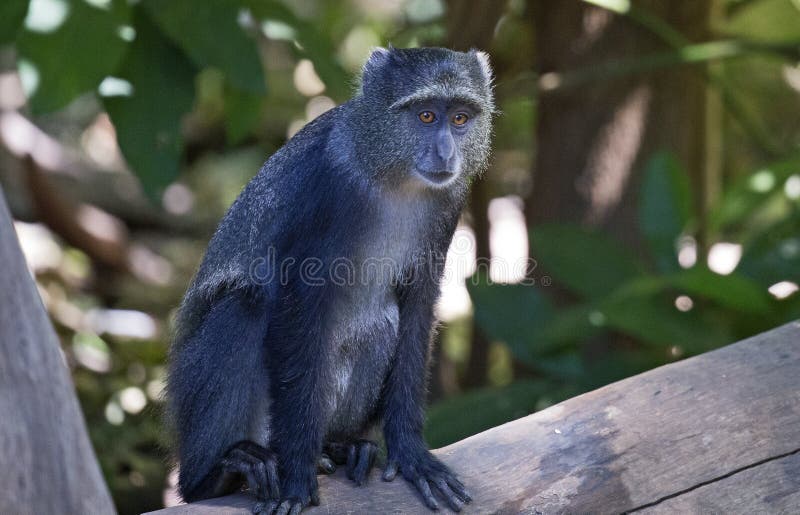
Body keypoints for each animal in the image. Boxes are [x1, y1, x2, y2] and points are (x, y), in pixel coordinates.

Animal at [166, 46, 494, 515]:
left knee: (381, 323)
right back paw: (220, 473)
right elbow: (297, 307)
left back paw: (340, 447)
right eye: (427, 116)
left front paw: (410, 452)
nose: (447, 153)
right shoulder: (325, 191)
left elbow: (415, 308)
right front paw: (296, 479)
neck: (390, 175)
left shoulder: (449, 205)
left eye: (462, 118)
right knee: (242, 309)